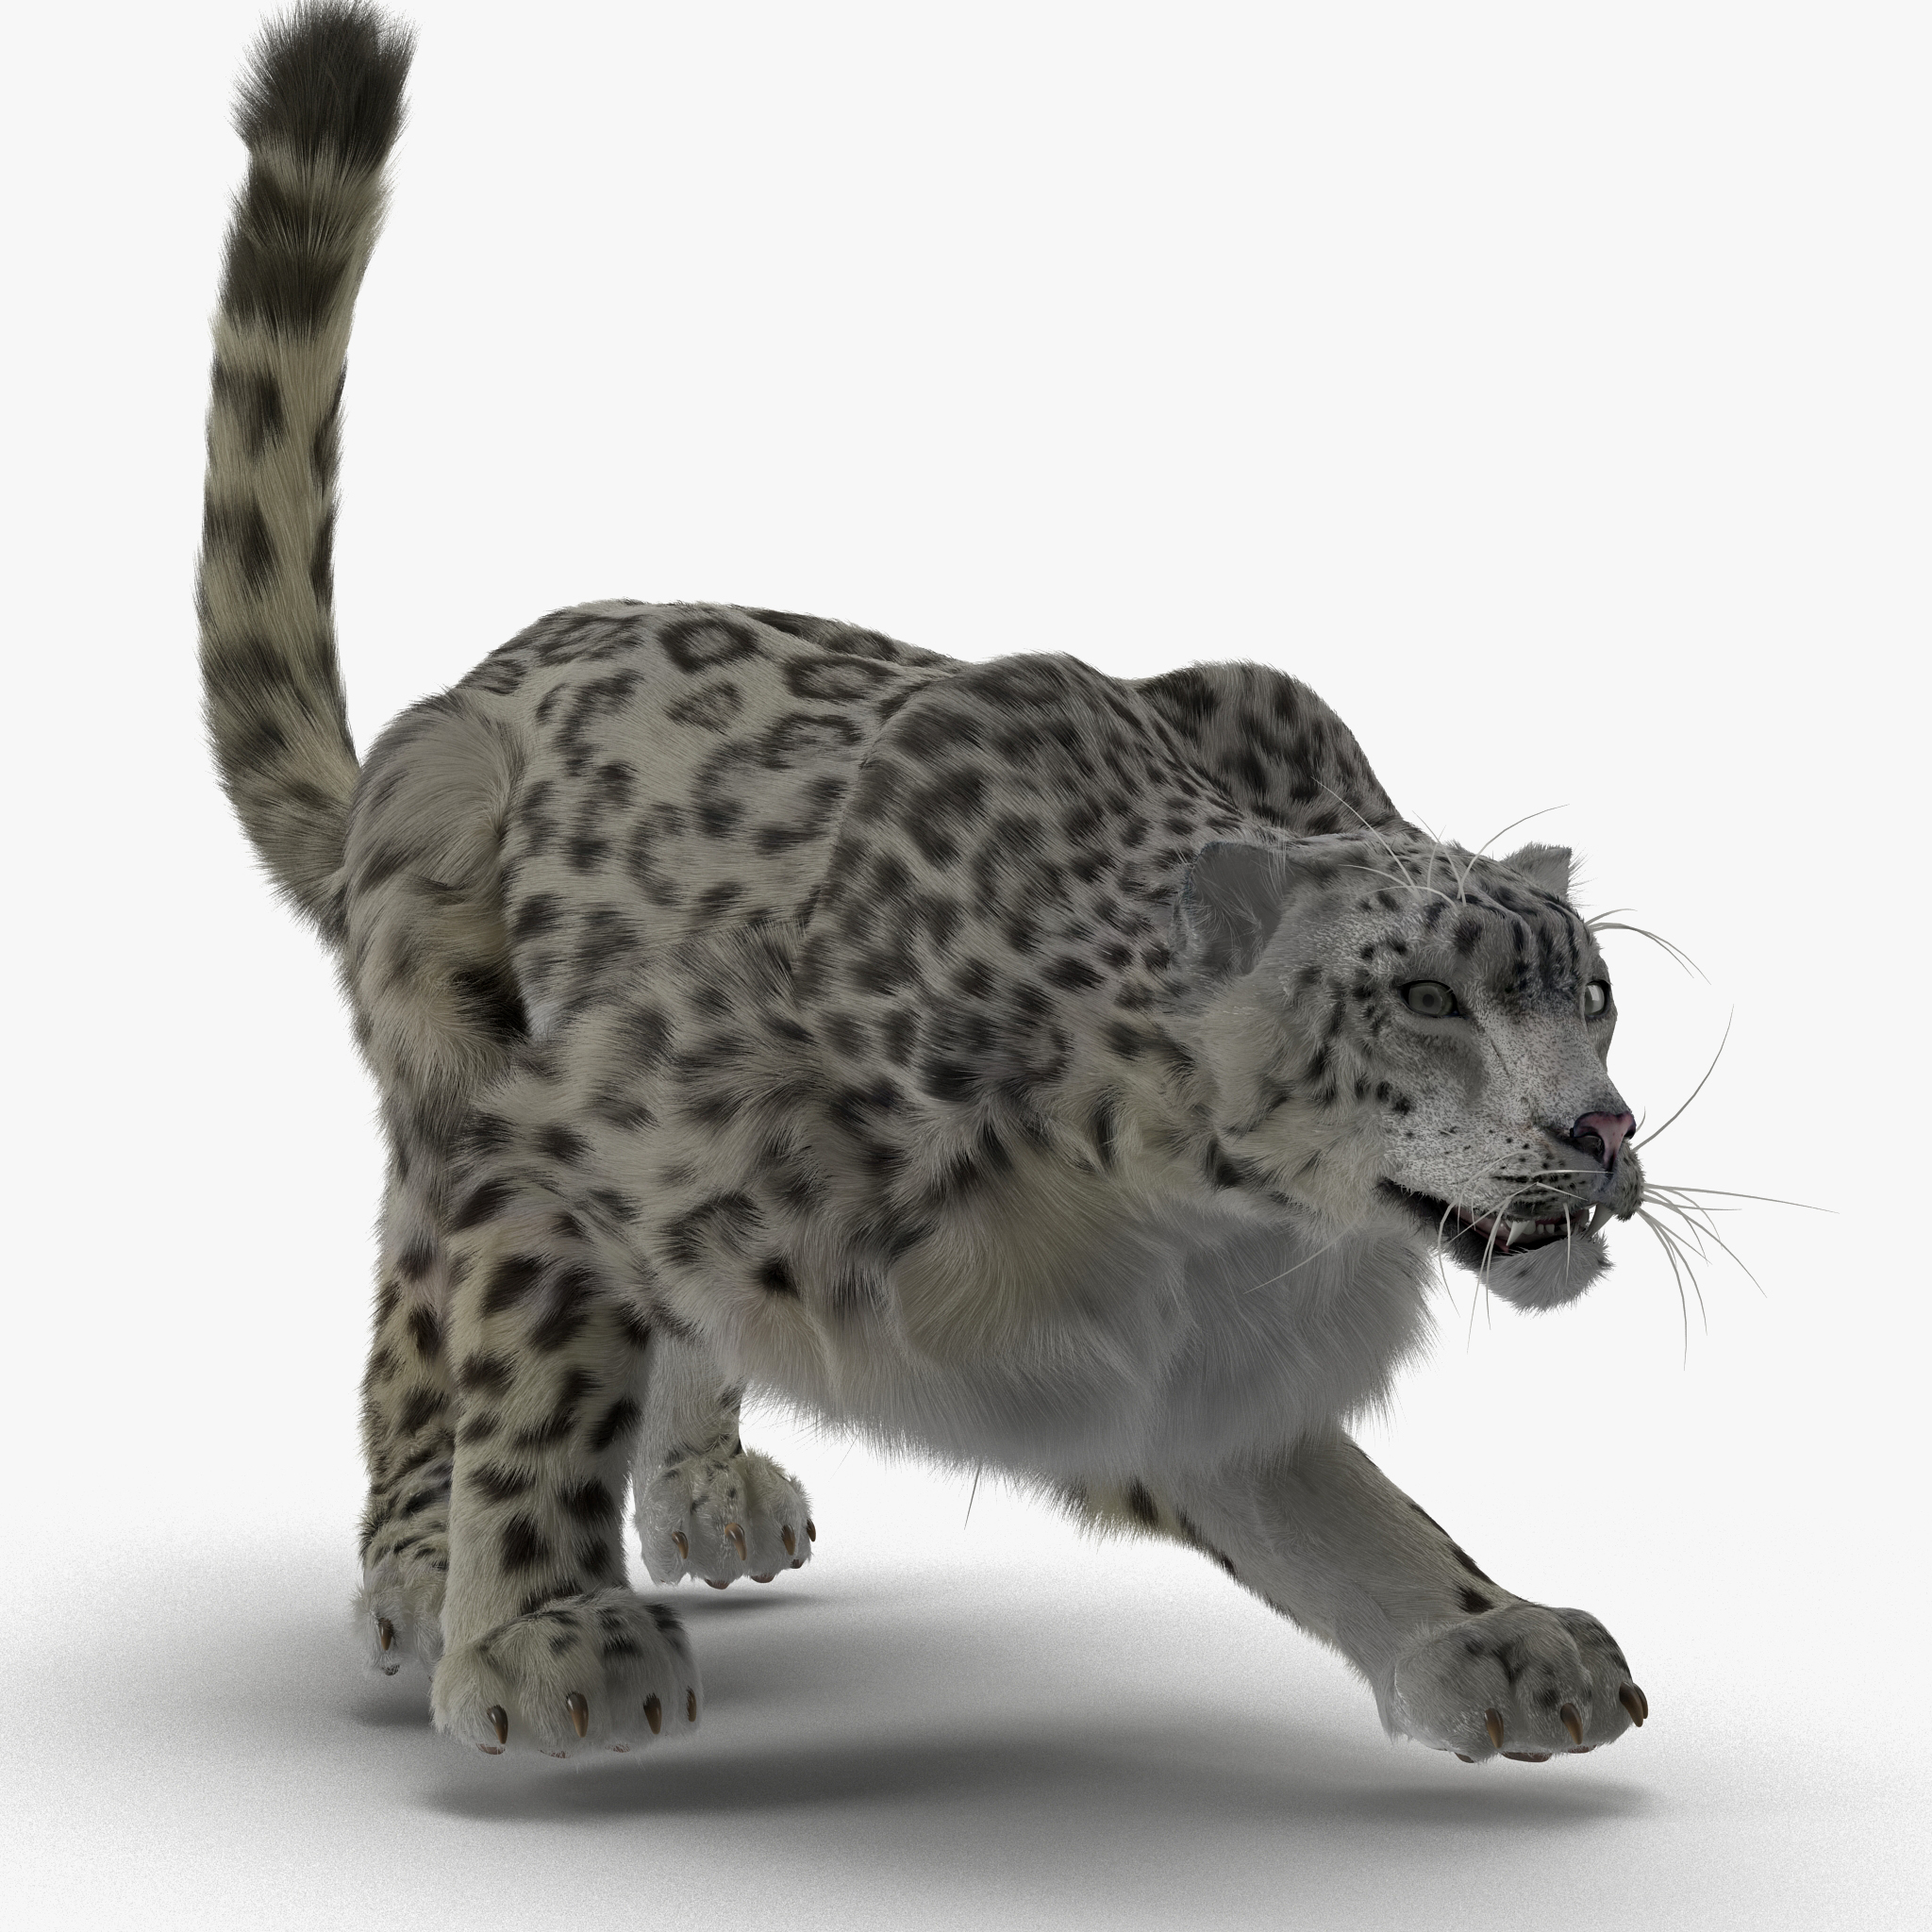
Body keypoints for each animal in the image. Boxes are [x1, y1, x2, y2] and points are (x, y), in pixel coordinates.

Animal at [199, 2, 1651, 1767]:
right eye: (1427, 996)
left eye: (1596, 992)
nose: (1603, 1131)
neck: (1195, 1236)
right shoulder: (572, 1149)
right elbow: (536, 1364)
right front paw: (543, 1637)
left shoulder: (1185, 1371)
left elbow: (1337, 1505)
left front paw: (1500, 1634)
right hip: (438, 1028)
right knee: (418, 1317)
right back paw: (422, 1564)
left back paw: (703, 1487)